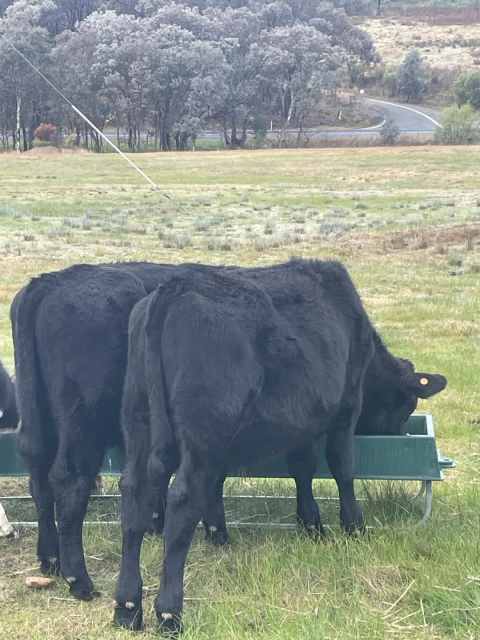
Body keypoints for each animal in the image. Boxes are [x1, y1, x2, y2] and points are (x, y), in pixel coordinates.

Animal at [113, 261, 447, 633]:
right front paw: (353, 526)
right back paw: (169, 612)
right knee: (182, 500)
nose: (399, 431)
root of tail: (174, 288)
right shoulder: (345, 405)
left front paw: (309, 524)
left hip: (138, 419)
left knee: (134, 493)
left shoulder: (304, 420)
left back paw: (127, 606)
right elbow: (342, 466)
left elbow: (301, 468)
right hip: (203, 432)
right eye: (407, 404)